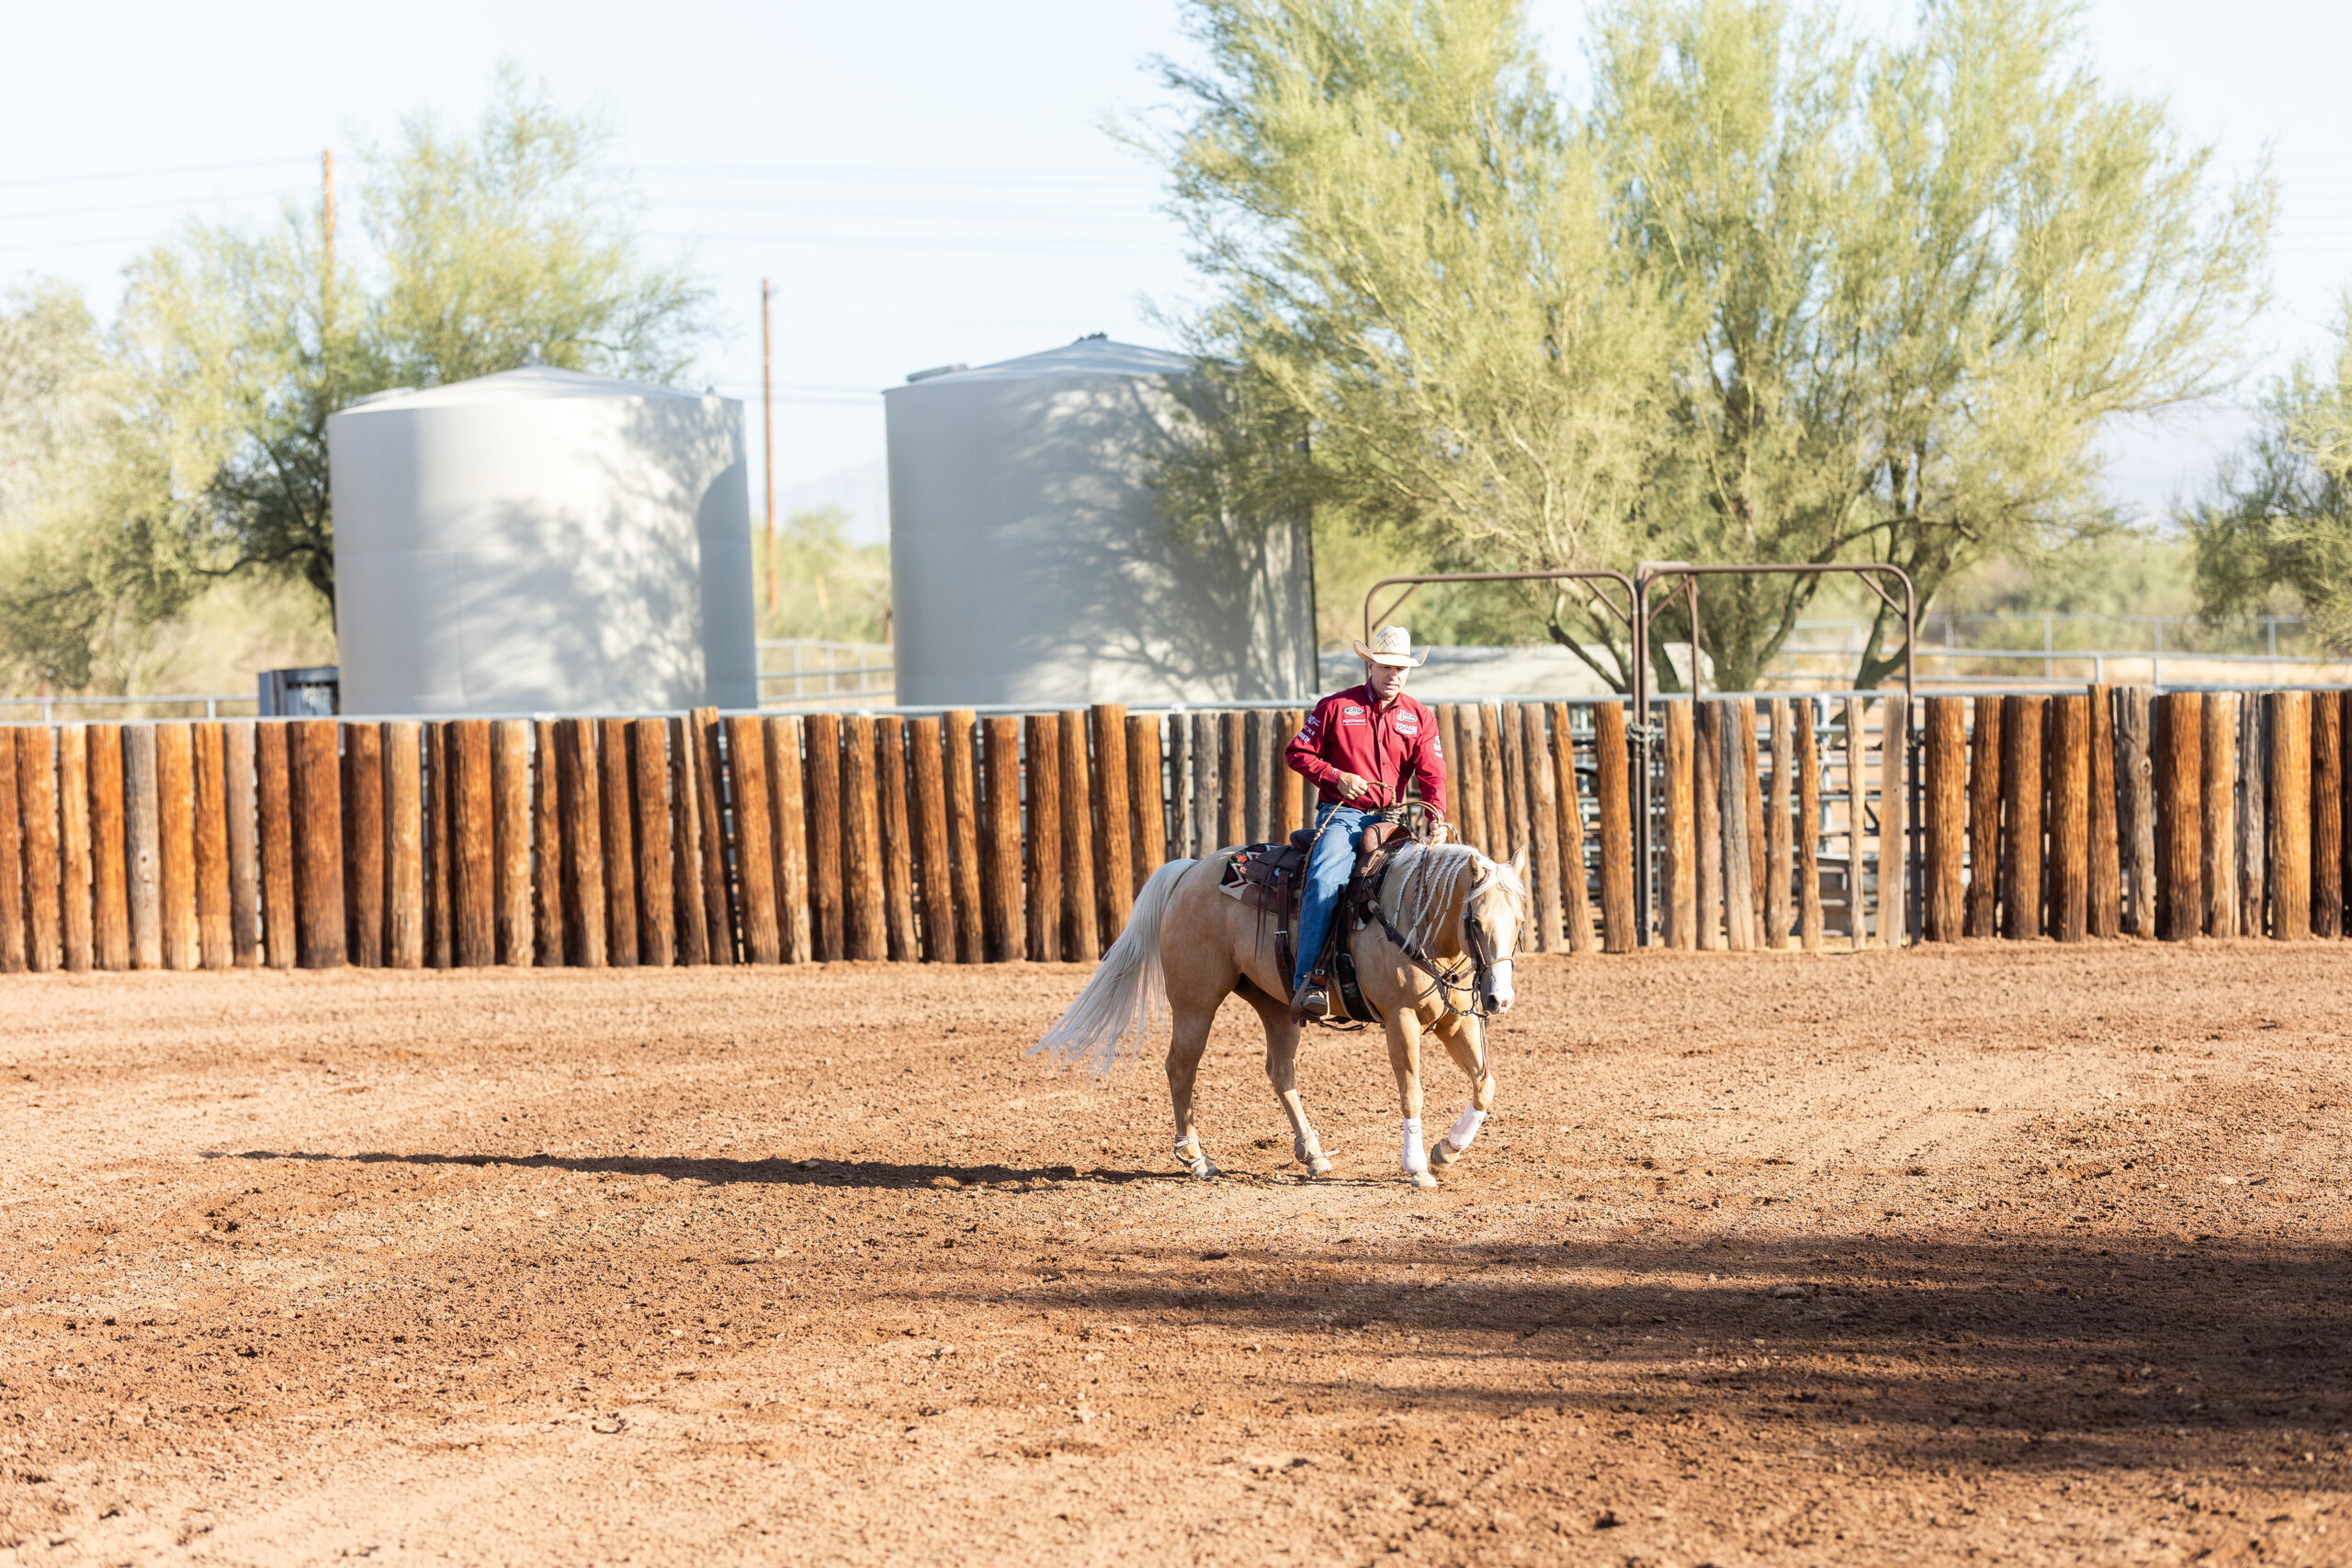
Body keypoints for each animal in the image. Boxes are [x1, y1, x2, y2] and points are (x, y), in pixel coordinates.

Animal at [1032, 838, 1530, 1188]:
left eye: (1520, 922)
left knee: (1280, 1072)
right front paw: (1417, 1167)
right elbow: (1412, 1092)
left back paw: (1313, 1154)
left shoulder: (1455, 1021)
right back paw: (1196, 1158)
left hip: (1275, 1005)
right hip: (1195, 1001)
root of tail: (1191, 870)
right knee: (1181, 1067)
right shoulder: (1400, 1020)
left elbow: (1486, 1084)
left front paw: (1447, 1150)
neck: (1411, 915)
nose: (1499, 1000)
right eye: (1476, 921)